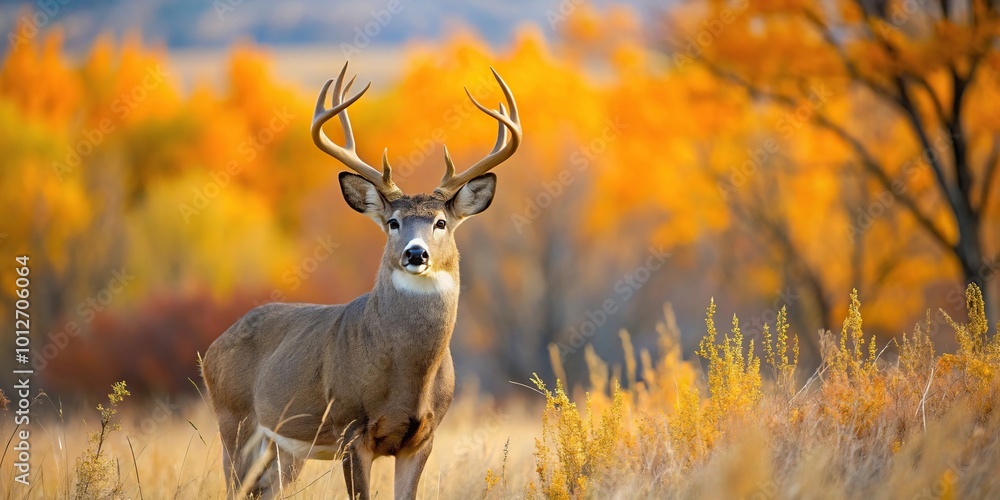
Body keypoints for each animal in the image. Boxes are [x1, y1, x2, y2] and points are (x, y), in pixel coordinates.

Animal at [201, 61, 521, 500]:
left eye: (441, 222)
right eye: (393, 222)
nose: (415, 254)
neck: (407, 379)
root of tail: (214, 346)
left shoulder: (424, 437)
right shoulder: (350, 428)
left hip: (282, 449)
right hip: (234, 422)